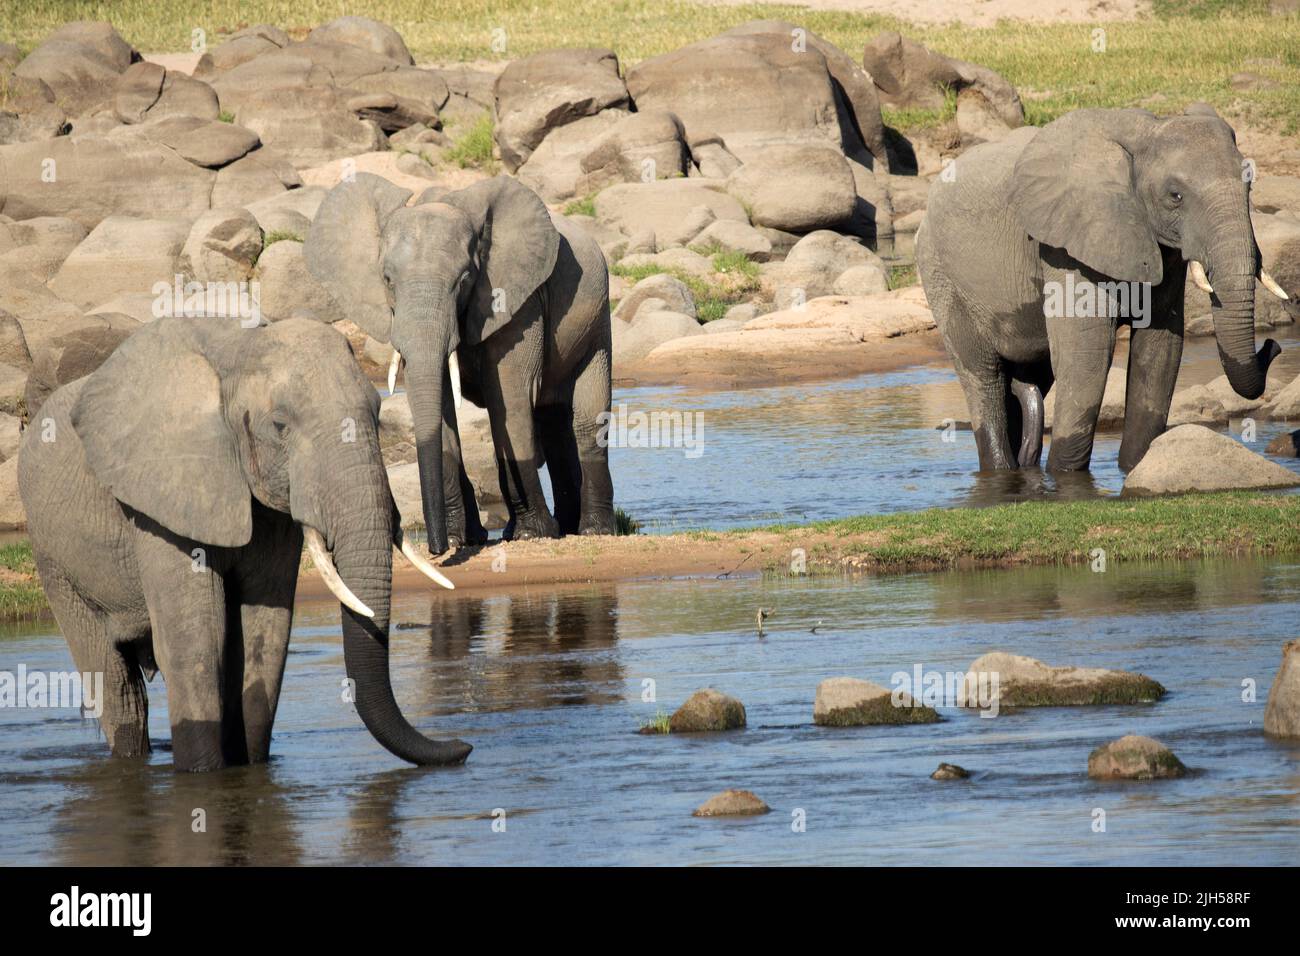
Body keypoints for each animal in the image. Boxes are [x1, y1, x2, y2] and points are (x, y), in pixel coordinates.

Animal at [17, 317, 470, 772]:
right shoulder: (160, 502)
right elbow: (197, 641)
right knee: (114, 682)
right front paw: (202, 777)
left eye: (377, 415)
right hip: (53, 560)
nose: (463, 746)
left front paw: (251, 768)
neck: (236, 351)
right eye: (280, 426)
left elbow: (264, 632)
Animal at [304, 173, 616, 556]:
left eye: (465, 279)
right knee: (554, 421)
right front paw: (461, 539)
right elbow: (439, 406)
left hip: (596, 323)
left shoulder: (518, 301)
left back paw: (593, 531)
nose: (436, 549)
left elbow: (510, 398)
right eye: (388, 280)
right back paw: (562, 527)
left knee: (586, 421)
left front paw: (532, 535)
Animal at [916, 105, 1288, 473]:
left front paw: (1136, 466)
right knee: (984, 377)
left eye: (1250, 187)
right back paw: (1001, 467)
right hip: (942, 277)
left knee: (1030, 378)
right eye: (1175, 196)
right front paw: (1065, 476)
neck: (1147, 131)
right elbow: (1087, 354)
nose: (1274, 345)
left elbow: (1159, 348)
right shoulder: (1066, 243)